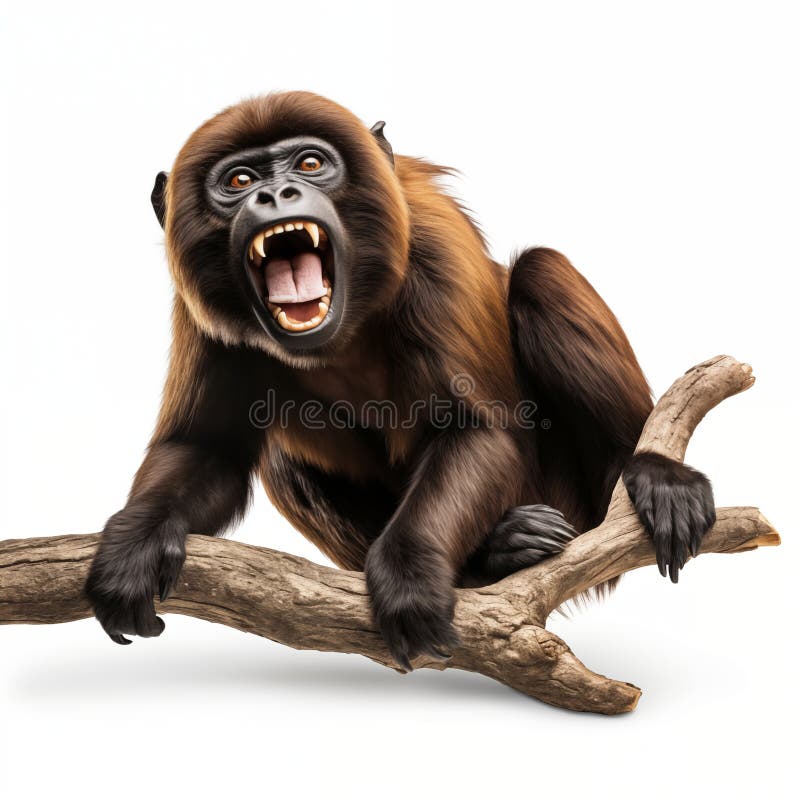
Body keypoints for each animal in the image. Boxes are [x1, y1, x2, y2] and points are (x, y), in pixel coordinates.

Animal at [85, 91, 715, 669]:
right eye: (239, 180)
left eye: (310, 164)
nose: (273, 195)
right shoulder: (201, 314)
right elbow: (204, 449)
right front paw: (135, 542)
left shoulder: (434, 251)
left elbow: (474, 427)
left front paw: (410, 575)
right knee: (282, 460)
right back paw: (503, 551)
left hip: (575, 492)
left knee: (541, 273)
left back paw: (650, 475)